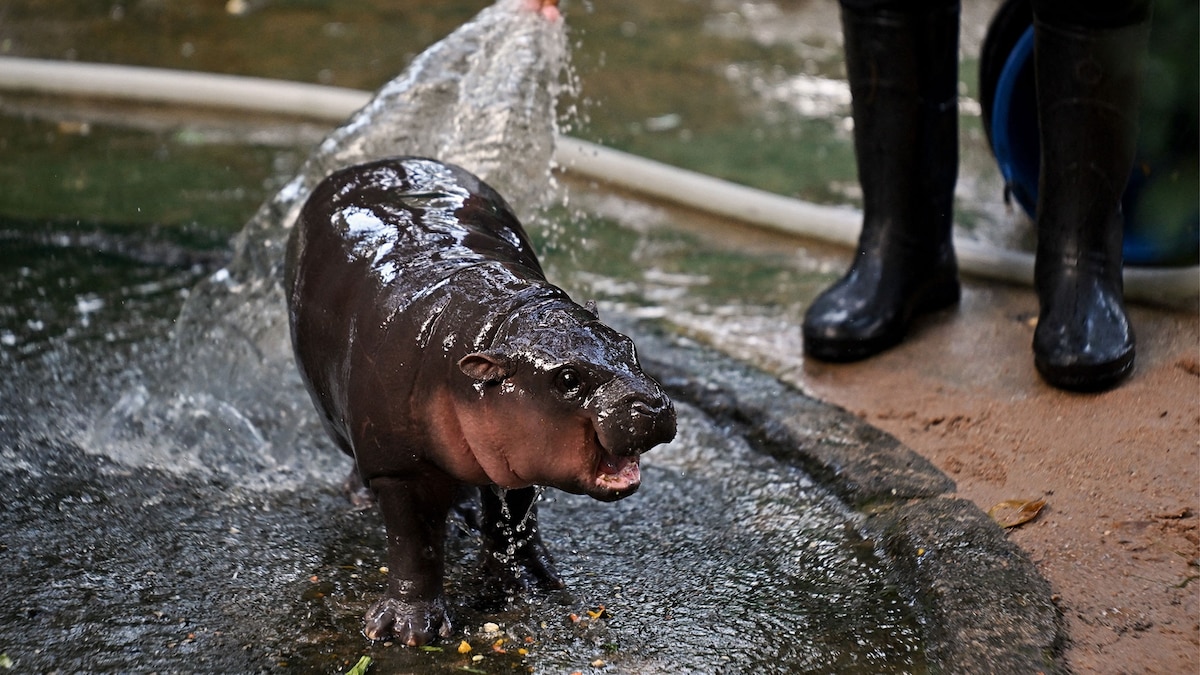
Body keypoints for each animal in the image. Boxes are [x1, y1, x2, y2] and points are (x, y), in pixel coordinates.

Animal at [284, 157, 676, 646]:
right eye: (567, 378)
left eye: (628, 345)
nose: (652, 405)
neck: (495, 324)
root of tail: (373, 163)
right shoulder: (400, 468)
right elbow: (415, 544)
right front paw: (407, 631)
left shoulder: (519, 453)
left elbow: (516, 519)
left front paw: (532, 582)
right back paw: (362, 498)